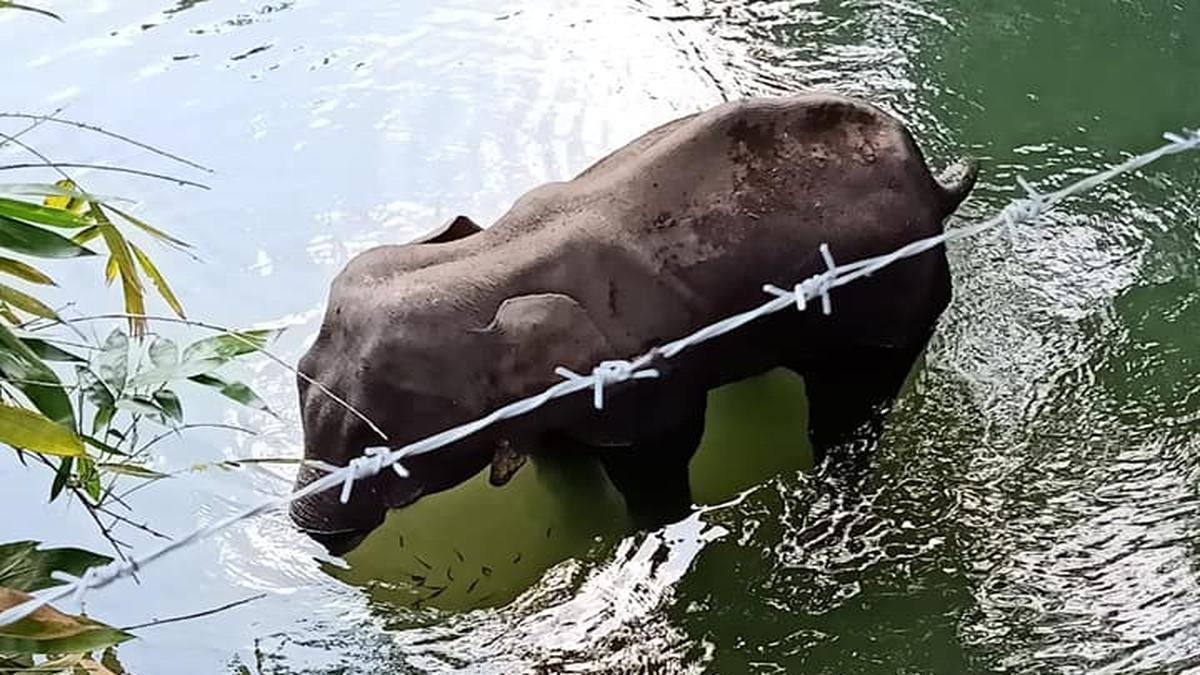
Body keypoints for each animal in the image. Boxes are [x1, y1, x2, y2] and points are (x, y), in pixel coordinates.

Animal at [290, 93, 978, 553]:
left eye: (385, 450)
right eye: (300, 376)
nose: (312, 532)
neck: (496, 257)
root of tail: (934, 184)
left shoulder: (642, 381)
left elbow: (659, 459)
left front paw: (647, 534)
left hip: (896, 299)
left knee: (848, 408)